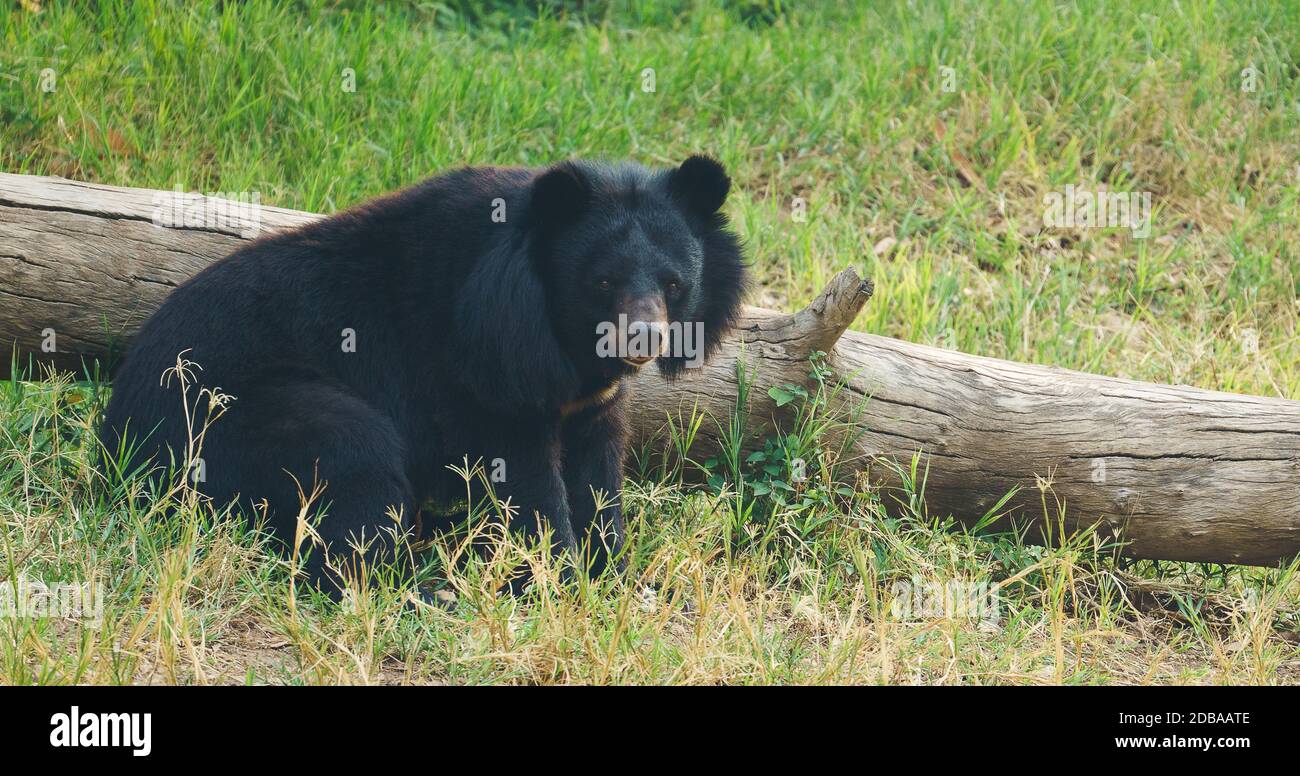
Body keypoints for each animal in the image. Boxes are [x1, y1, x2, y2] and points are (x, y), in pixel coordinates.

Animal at [100, 155, 748, 597]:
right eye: (604, 281)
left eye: (673, 283)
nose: (642, 340)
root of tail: (118, 436)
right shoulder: (478, 369)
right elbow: (526, 477)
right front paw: (556, 578)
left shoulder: (589, 400)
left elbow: (597, 471)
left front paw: (613, 571)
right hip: (230, 418)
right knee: (352, 460)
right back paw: (419, 583)